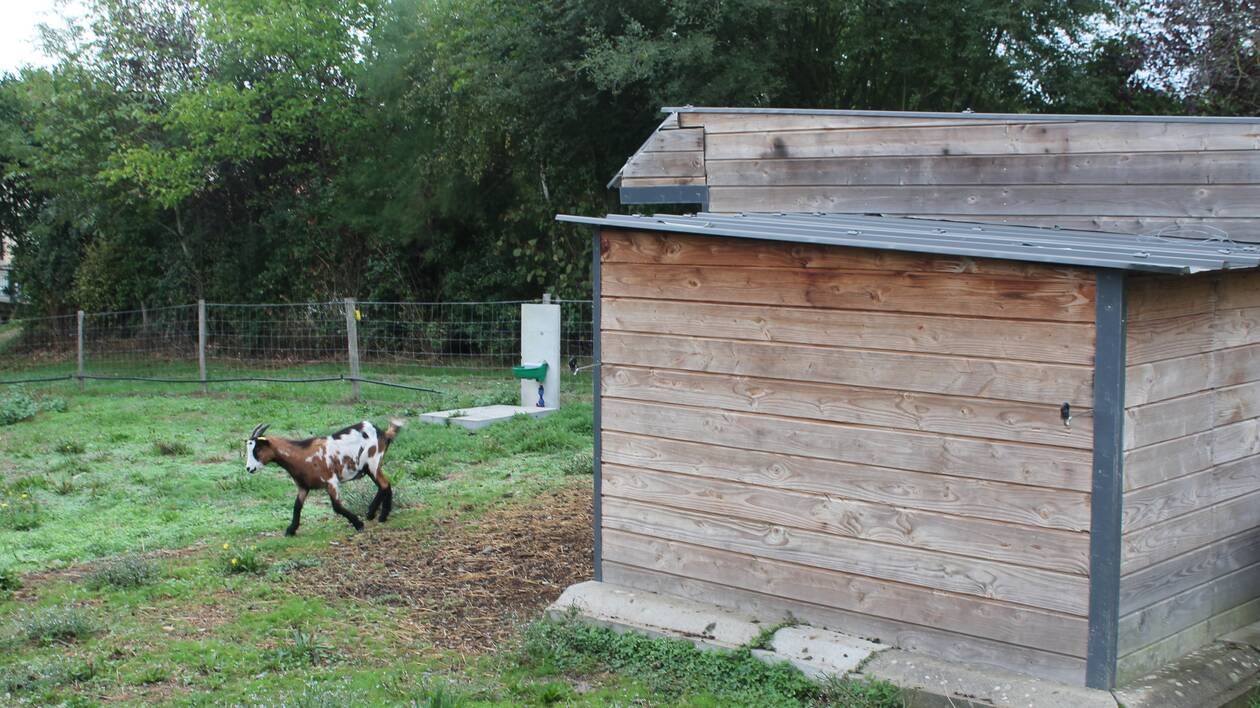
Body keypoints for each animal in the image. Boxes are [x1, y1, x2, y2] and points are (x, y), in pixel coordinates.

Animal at [245, 415, 403, 531]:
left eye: (257, 449)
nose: (249, 468)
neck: (301, 455)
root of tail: (383, 433)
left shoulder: (331, 481)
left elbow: (337, 507)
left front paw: (358, 524)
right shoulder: (303, 486)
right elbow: (297, 506)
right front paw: (291, 530)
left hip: (373, 463)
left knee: (384, 485)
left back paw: (381, 516)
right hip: (369, 467)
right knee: (383, 486)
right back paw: (371, 513)